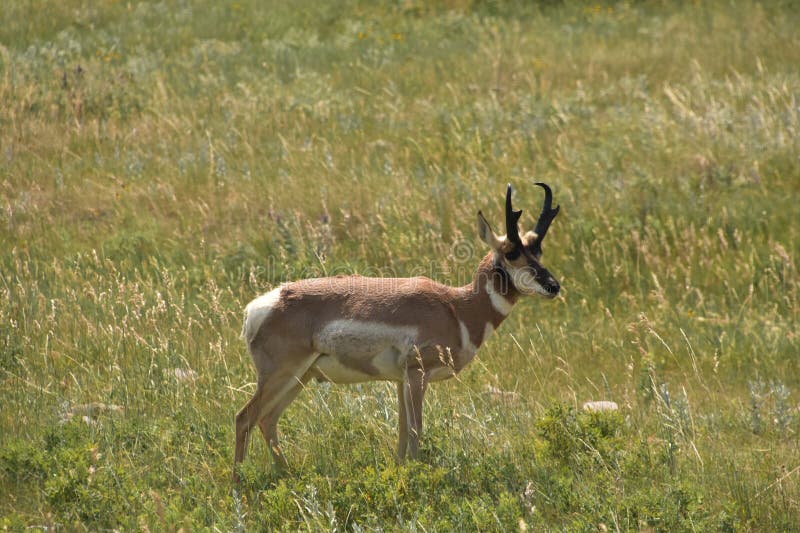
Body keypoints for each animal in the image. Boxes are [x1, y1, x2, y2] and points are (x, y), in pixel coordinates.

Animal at [234, 183, 561, 481]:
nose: (554, 286)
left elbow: (403, 434)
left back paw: (288, 475)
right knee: (244, 417)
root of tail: (261, 306)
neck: (456, 307)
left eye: (538, 249)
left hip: (300, 378)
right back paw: (238, 486)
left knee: (267, 420)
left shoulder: (401, 380)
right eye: (512, 252)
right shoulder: (417, 374)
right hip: (282, 374)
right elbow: (416, 431)